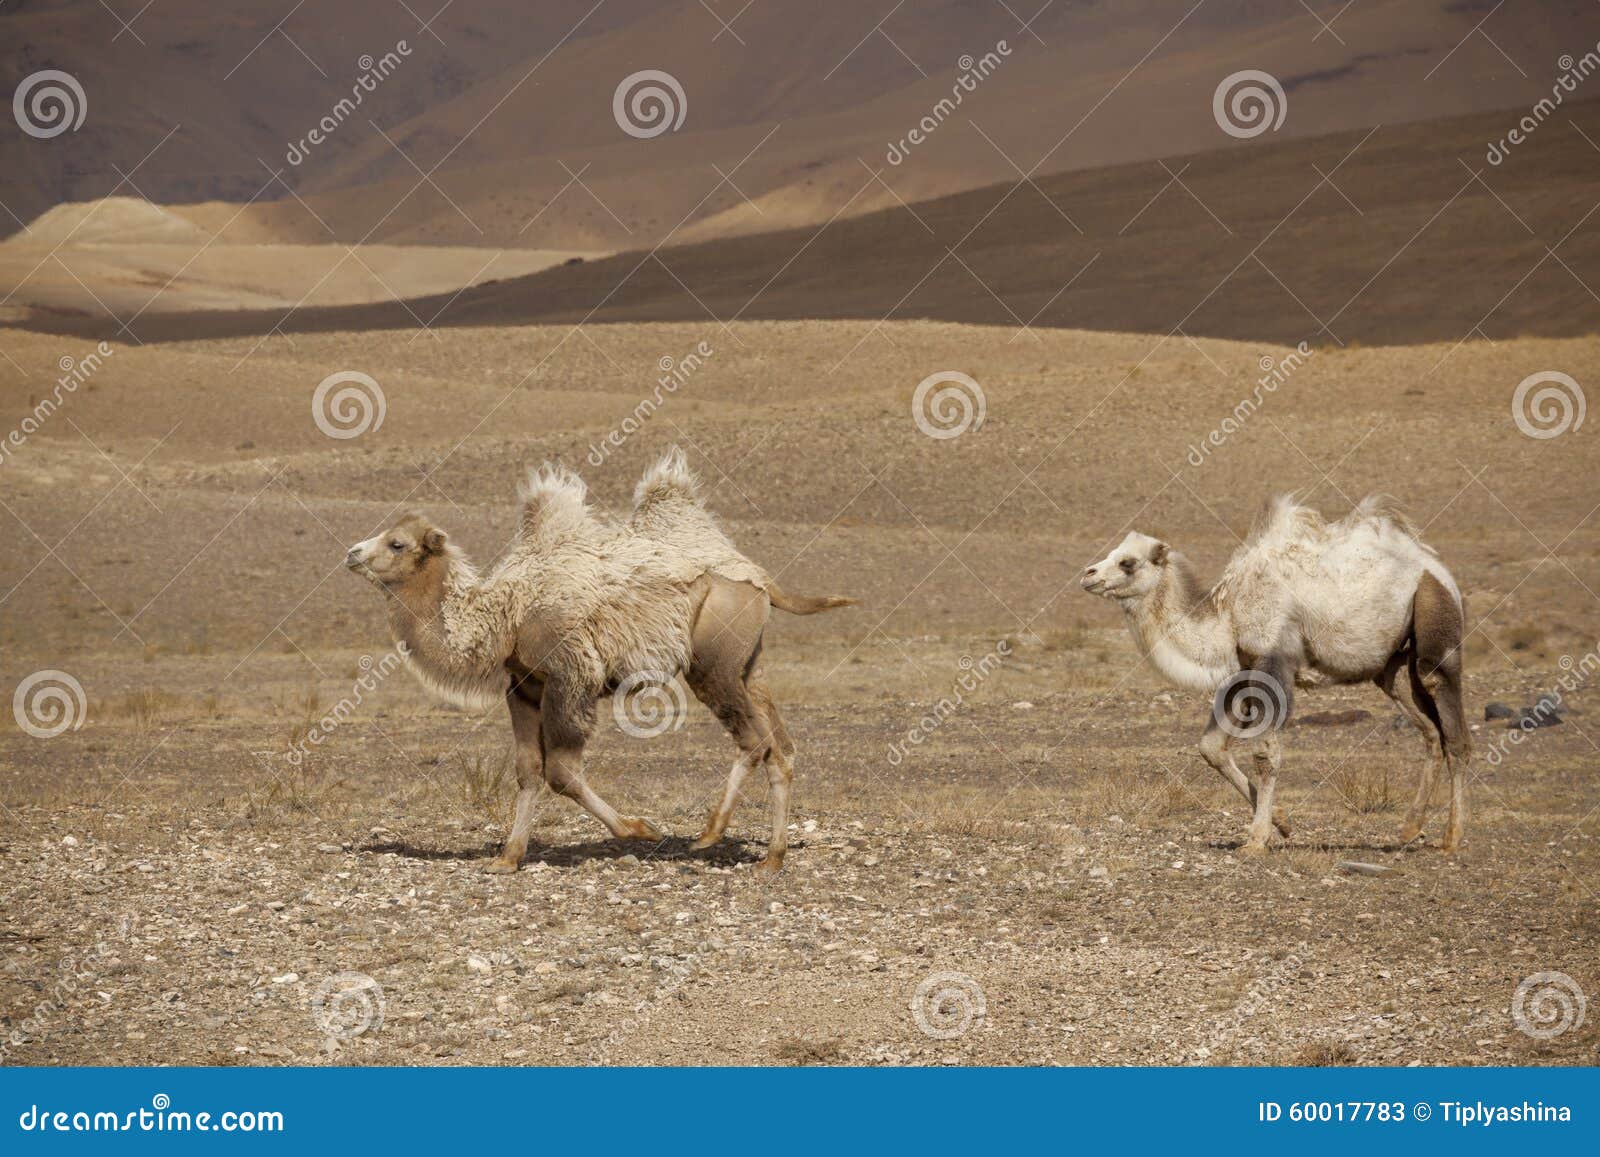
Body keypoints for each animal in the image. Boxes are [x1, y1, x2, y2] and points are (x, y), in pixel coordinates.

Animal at [345, 448, 856, 876]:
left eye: (397, 543)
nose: (351, 552)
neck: (505, 614)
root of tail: (761, 578)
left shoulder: (572, 674)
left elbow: (562, 773)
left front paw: (639, 829)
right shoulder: (523, 685)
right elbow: (528, 771)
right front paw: (507, 859)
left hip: (713, 660)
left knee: (754, 741)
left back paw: (709, 835)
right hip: (749, 664)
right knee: (781, 747)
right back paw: (771, 858)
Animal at [1079, 494, 1469, 855]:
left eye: (1128, 562)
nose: (1088, 574)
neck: (1227, 617)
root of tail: (1439, 570)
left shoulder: (1273, 659)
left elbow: (1265, 755)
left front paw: (1256, 839)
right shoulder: (1243, 671)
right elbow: (1211, 748)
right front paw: (1281, 823)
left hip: (1437, 627)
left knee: (1453, 730)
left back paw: (1451, 839)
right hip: (1393, 664)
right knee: (1430, 730)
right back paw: (1409, 829)